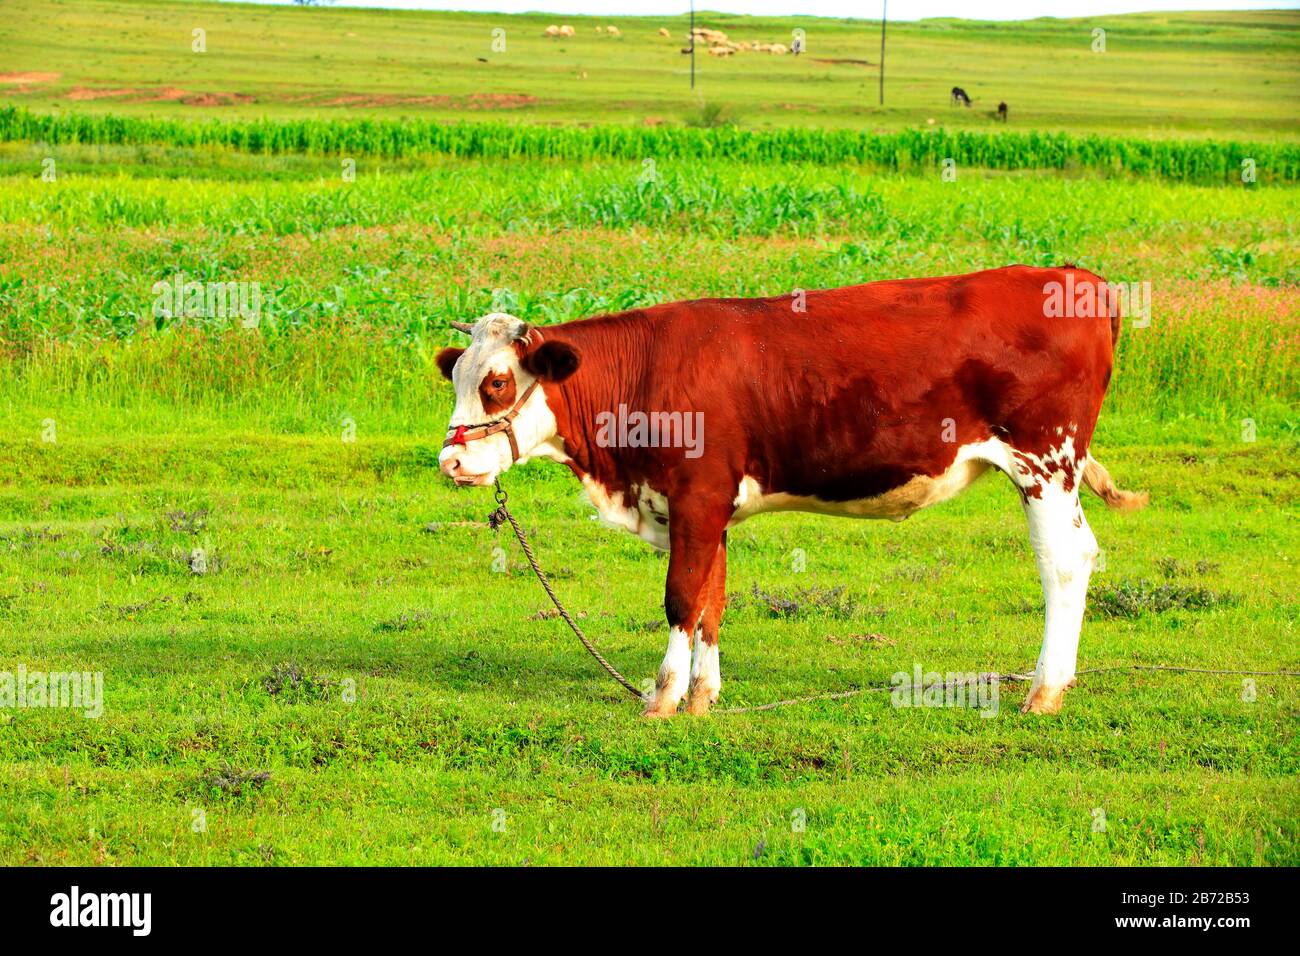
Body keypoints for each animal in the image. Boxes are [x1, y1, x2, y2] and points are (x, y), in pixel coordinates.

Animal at [437, 266, 1147, 718]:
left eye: (497, 383)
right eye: (457, 378)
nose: (451, 459)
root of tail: (1074, 275)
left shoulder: (695, 495)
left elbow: (680, 598)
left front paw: (662, 697)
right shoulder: (710, 506)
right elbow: (712, 600)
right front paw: (703, 697)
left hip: (1045, 463)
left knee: (1064, 562)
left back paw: (1043, 692)